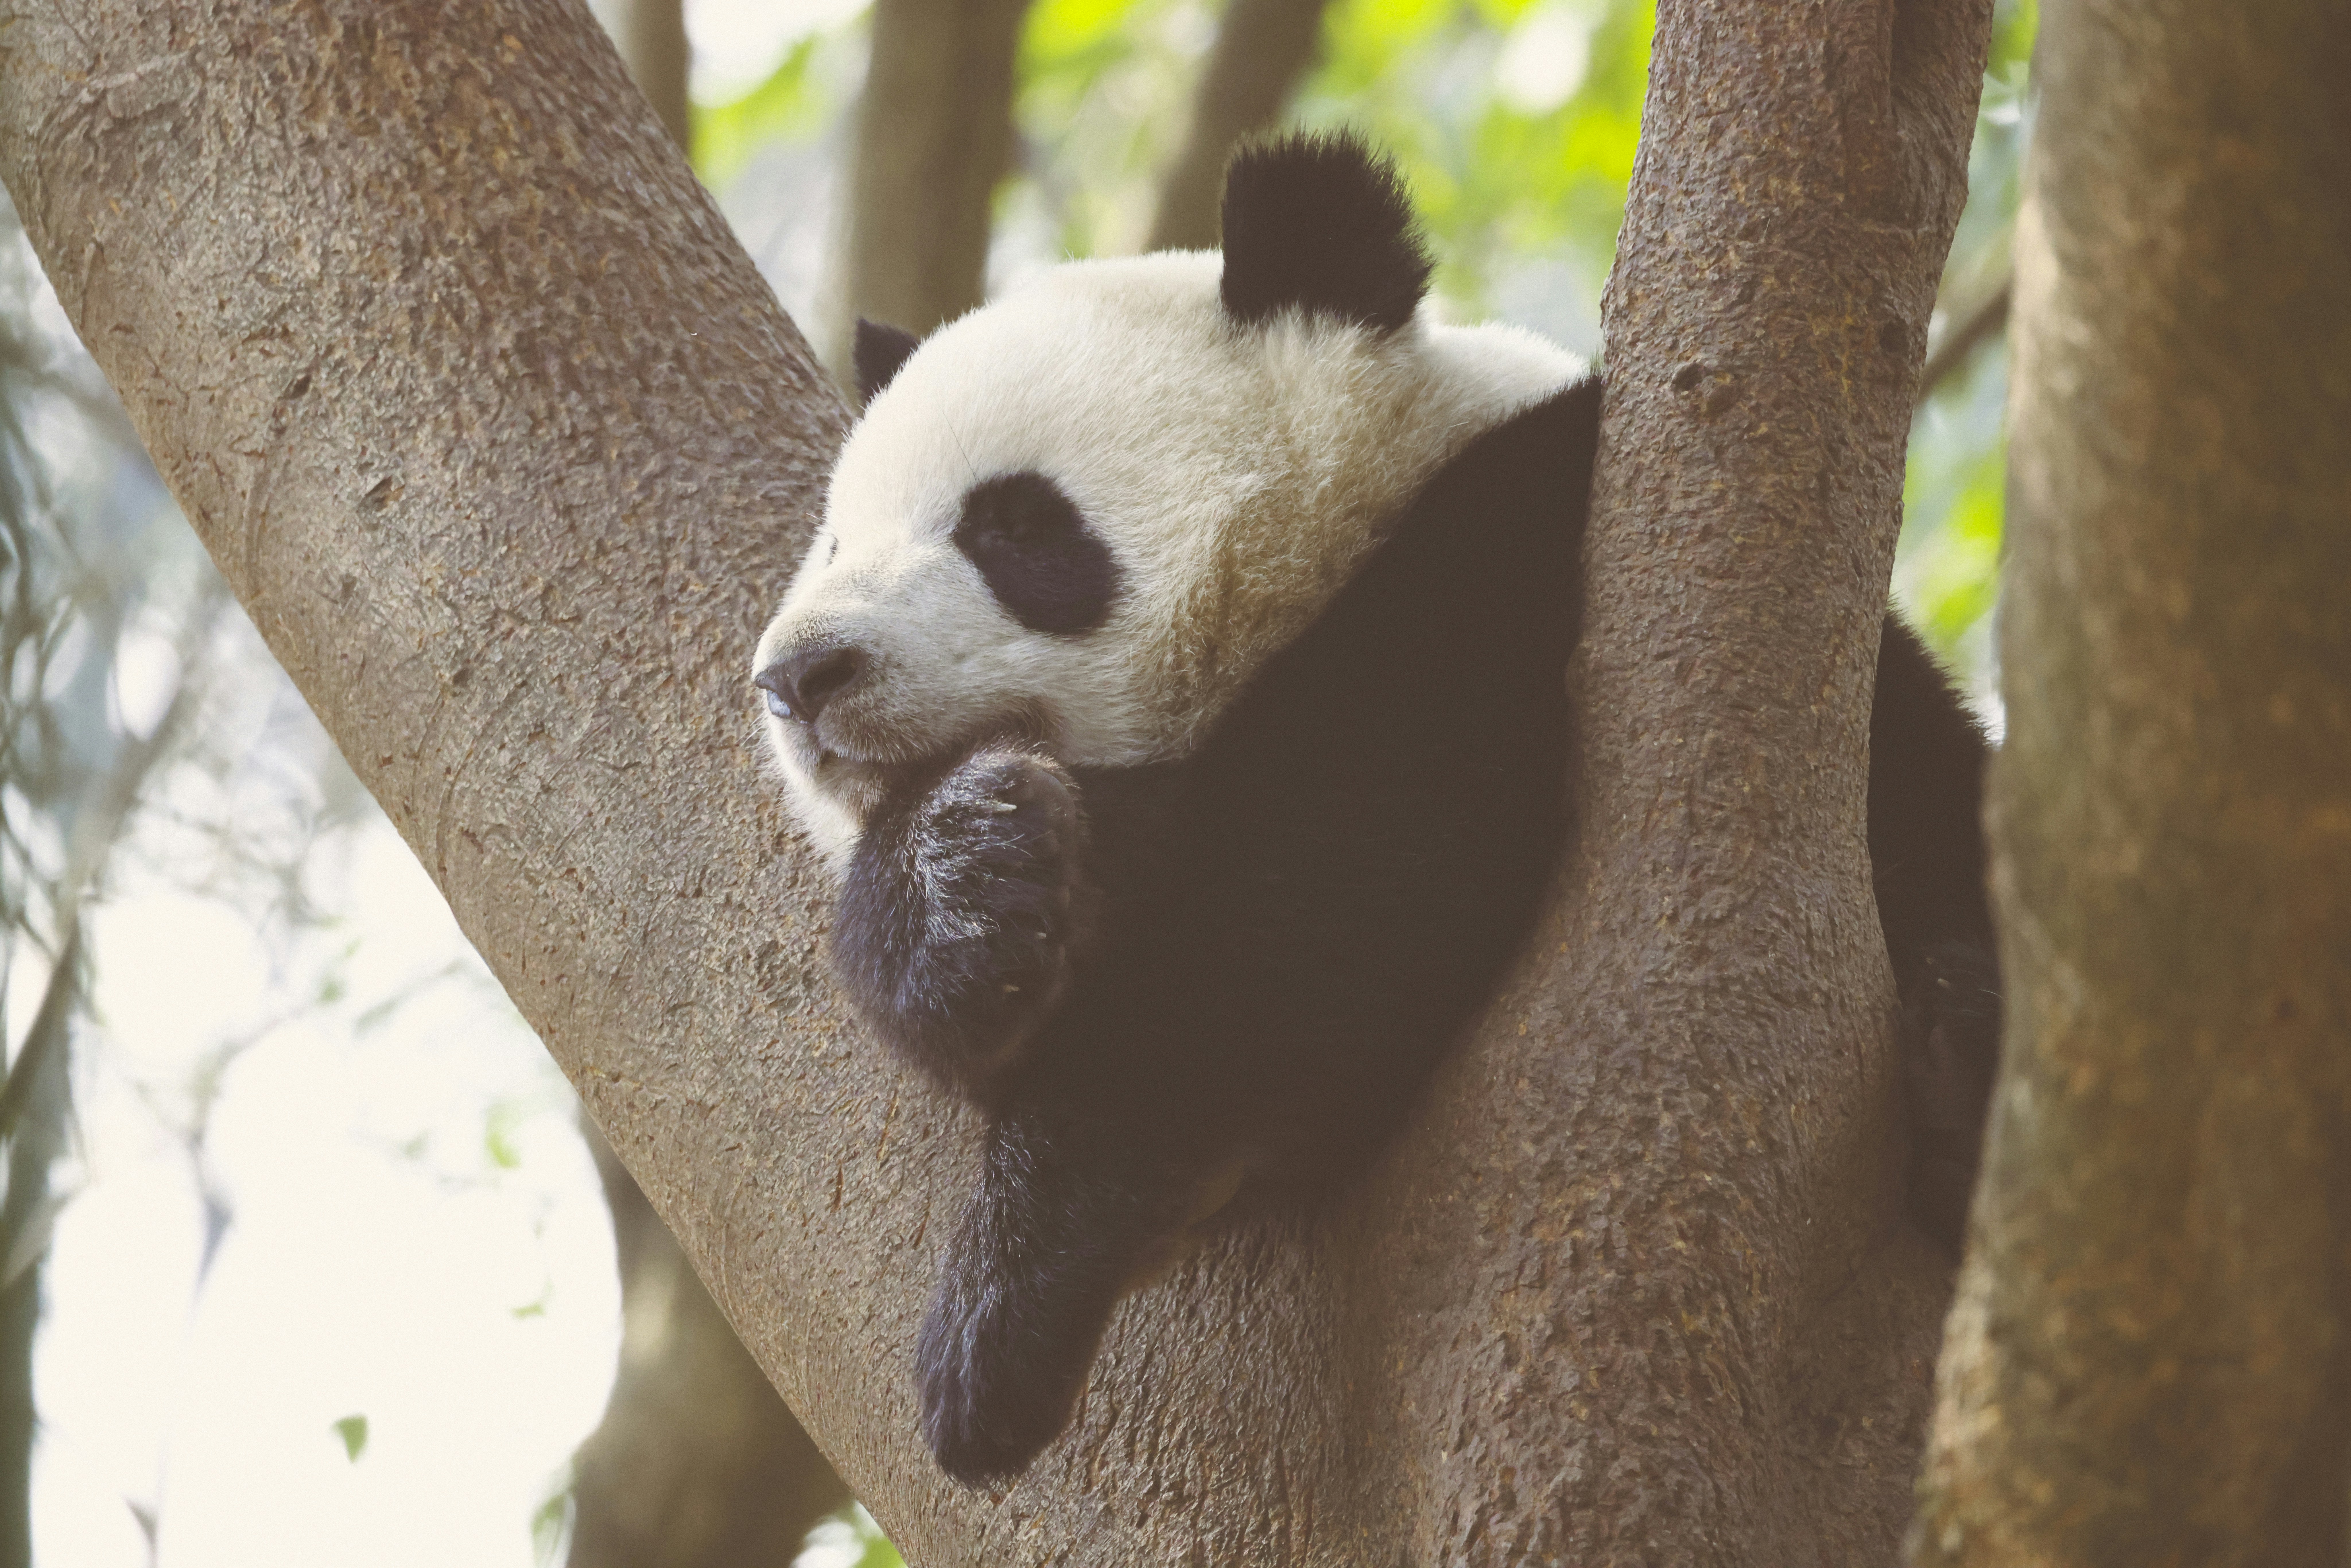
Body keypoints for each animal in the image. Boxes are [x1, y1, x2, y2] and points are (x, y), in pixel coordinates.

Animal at [752, 134, 2000, 1487]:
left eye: (1016, 523)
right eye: (835, 541)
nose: (802, 676)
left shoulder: (1529, 562)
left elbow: (1326, 904)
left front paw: (1007, 1304)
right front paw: (966, 885)